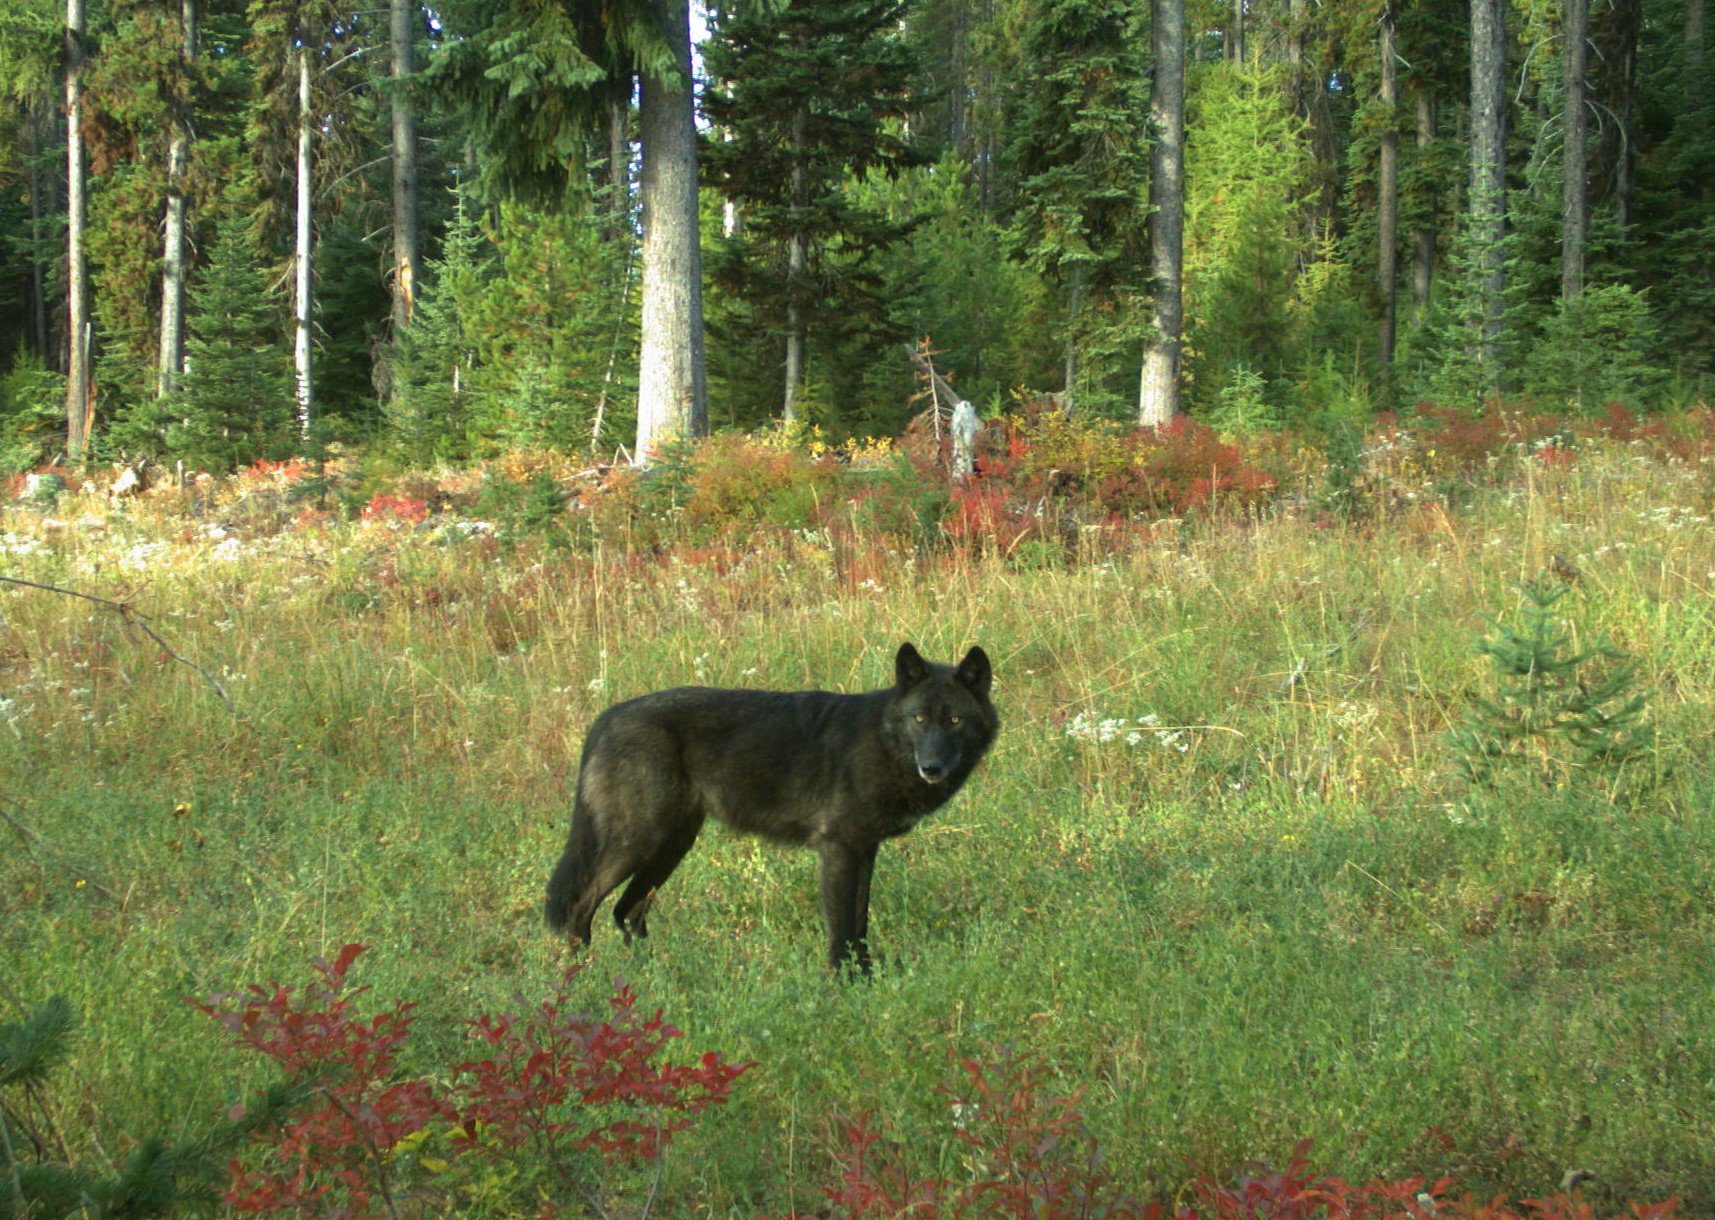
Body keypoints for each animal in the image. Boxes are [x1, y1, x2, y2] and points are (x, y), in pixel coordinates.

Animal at [544, 642, 998, 971]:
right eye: (919, 718)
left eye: (954, 720)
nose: (931, 768)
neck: (883, 742)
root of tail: (607, 716)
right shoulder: (838, 851)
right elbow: (842, 931)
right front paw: (847, 986)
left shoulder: (865, 850)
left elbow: (860, 924)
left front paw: (868, 978)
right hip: (639, 843)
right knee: (582, 906)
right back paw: (583, 980)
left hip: (671, 847)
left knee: (629, 911)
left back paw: (653, 978)